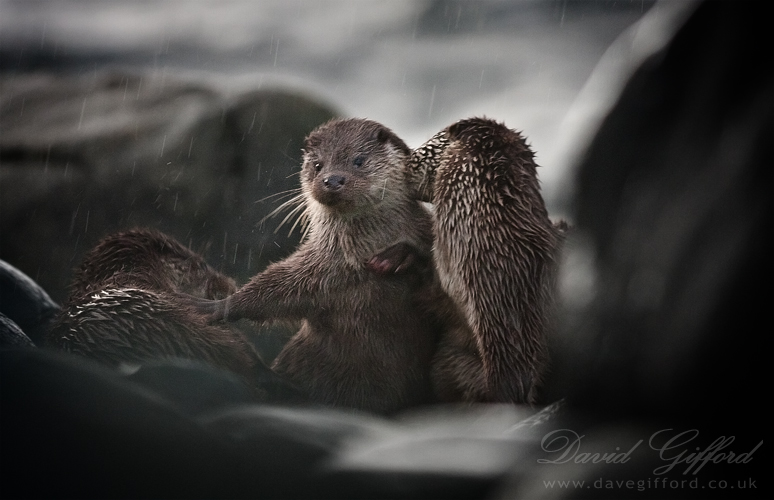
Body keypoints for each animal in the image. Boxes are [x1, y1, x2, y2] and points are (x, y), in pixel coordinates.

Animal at [191, 118, 437, 414]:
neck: (359, 258)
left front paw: (398, 256)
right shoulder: (313, 266)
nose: (332, 179)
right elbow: (274, 287)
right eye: (318, 164)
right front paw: (218, 306)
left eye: (358, 160)